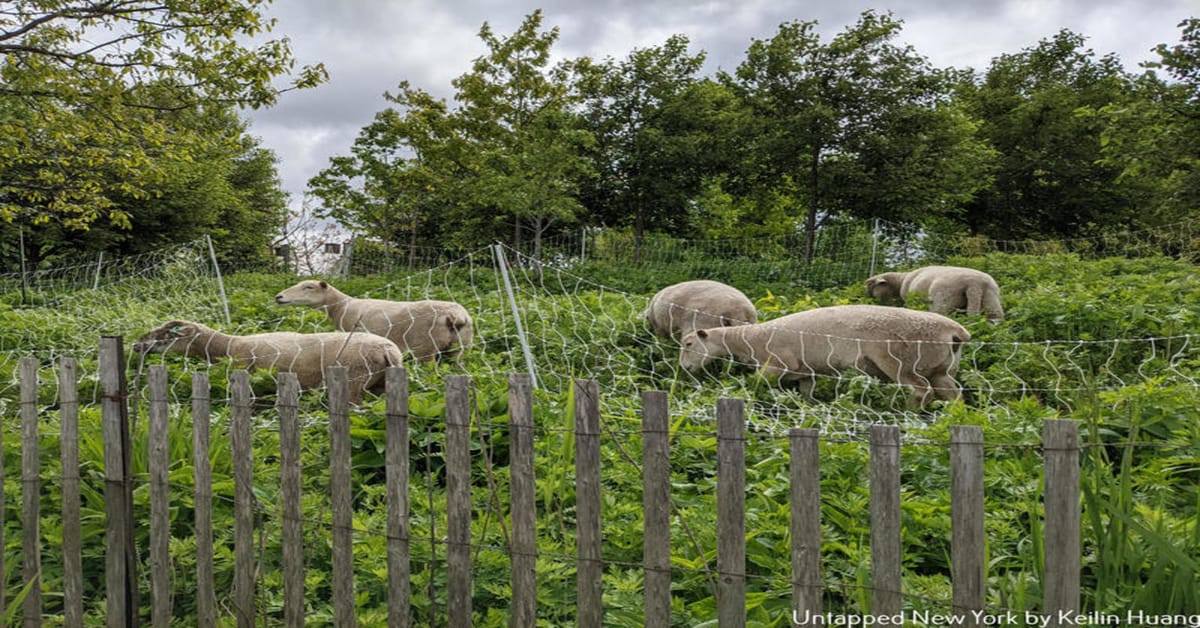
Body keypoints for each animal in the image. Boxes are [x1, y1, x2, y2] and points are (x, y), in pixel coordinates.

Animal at [132, 320, 403, 404]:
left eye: (168, 333)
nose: (137, 344)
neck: (230, 346)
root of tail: (389, 350)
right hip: (379, 385)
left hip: (355, 382)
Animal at [274, 280, 474, 362]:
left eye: (309, 287)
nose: (279, 296)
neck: (341, 306)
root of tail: (456, 315)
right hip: (461, 346)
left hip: (425, 348)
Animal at [678, 304, 970, 408]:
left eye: (689, 343)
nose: (684, 368)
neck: (751, 339)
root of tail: (956, 332)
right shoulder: (805, 371)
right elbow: (807, 393)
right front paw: (810, 408)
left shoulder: (778, 363)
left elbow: (758, 382)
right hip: (941, 368)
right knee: (952, 392)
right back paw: (953, 416)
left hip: (900, 361)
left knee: (921, 390)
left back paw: (907, 411)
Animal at [866, 265, 1004, 320]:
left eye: (871, 285)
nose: (869, 298)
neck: (900, 281)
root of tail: (974, 284)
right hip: (991, 301)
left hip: (944, 303)